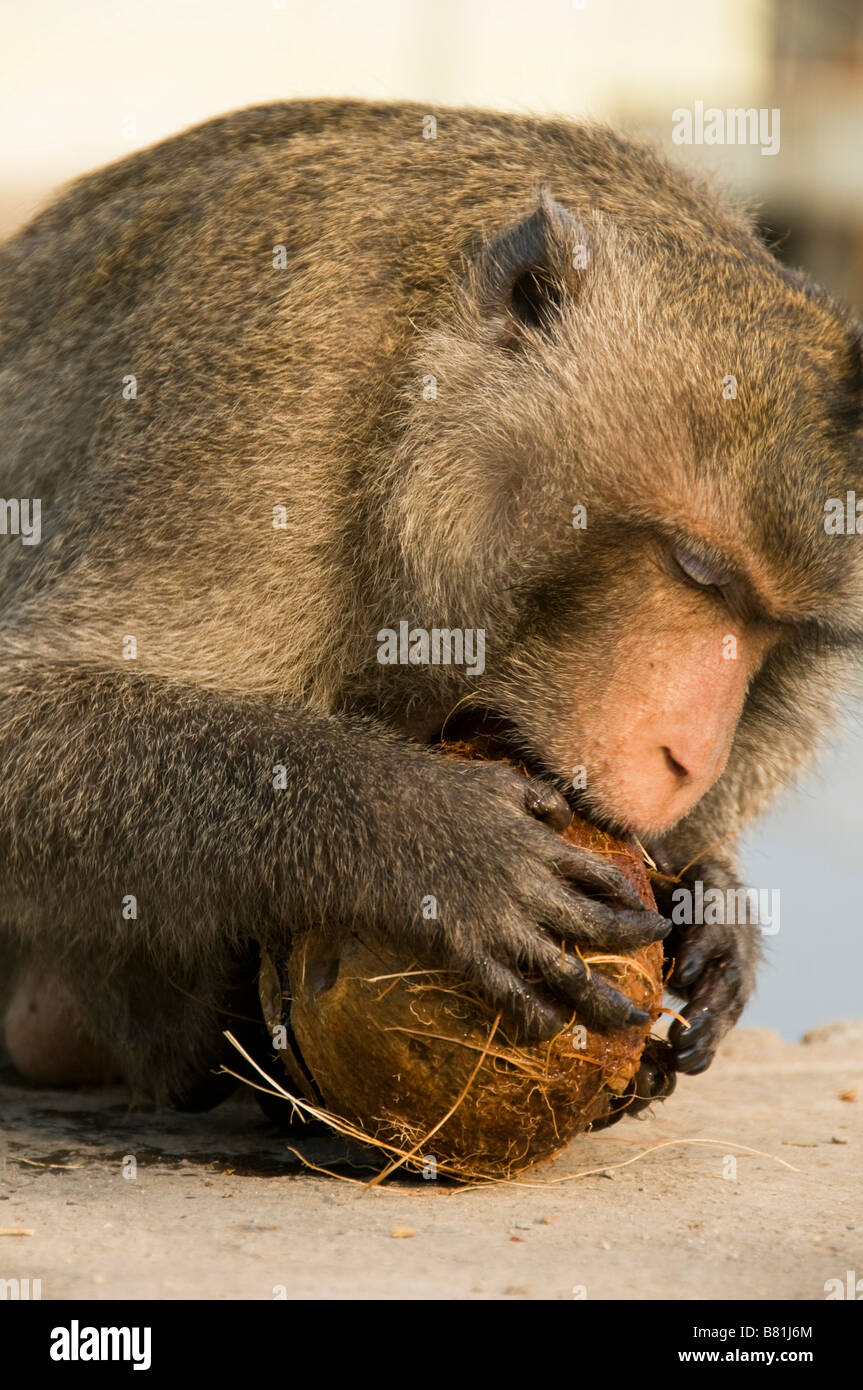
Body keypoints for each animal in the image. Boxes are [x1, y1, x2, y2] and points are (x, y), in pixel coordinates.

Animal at [0, 100, 861, 1116]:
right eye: (698, 573)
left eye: (783, 631)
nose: (689, 759)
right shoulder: (277, 369)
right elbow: (27, 719)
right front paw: (436, 844)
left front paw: (714, 902)